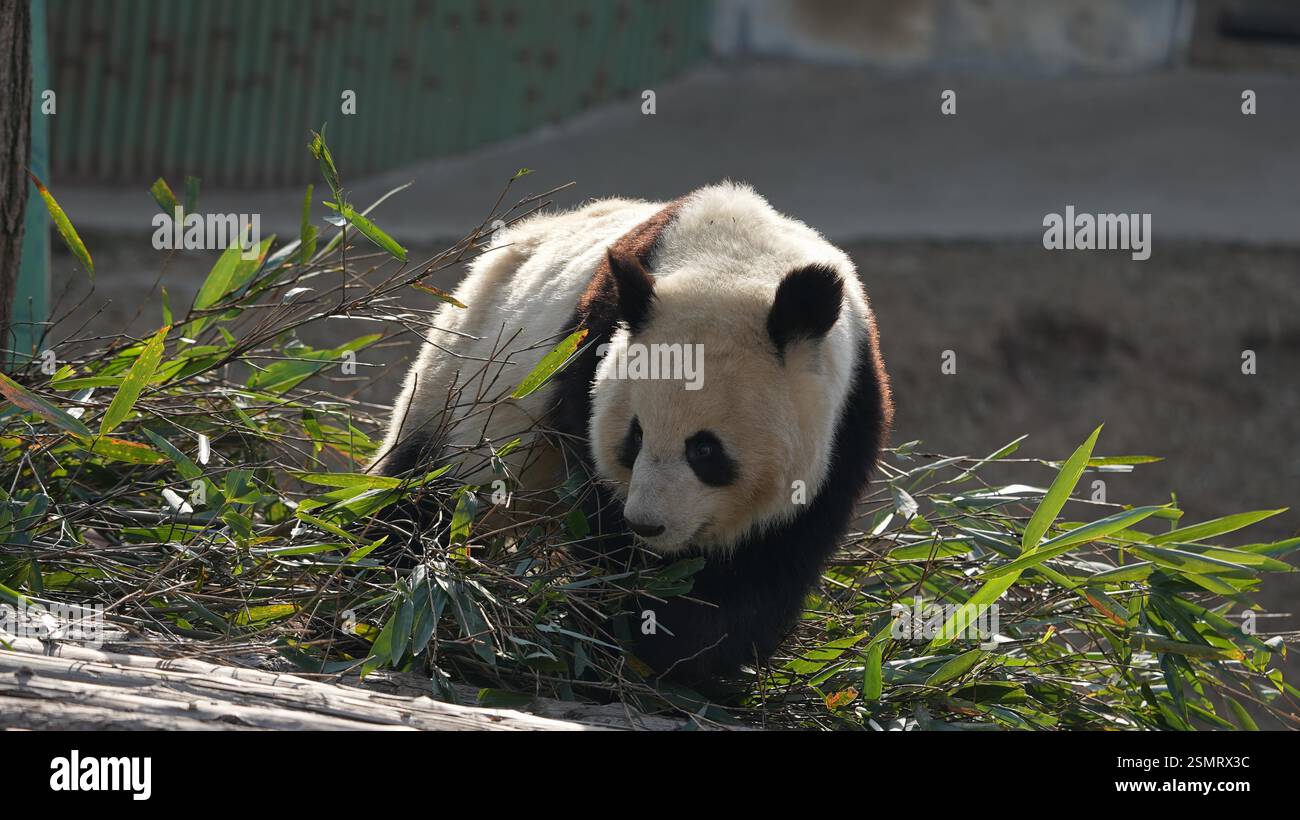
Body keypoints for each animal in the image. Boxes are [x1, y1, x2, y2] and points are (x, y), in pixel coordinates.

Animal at [374, 182, 892, 683]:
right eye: (635, 436)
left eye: (706, 450)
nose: (648, 525)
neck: (734, 257)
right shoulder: (586, 356)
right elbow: (596, 512)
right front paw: (637, 628)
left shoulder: (849, 415)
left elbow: (773, 561)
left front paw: (690, 655)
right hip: (461, 374)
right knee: (422, 489)